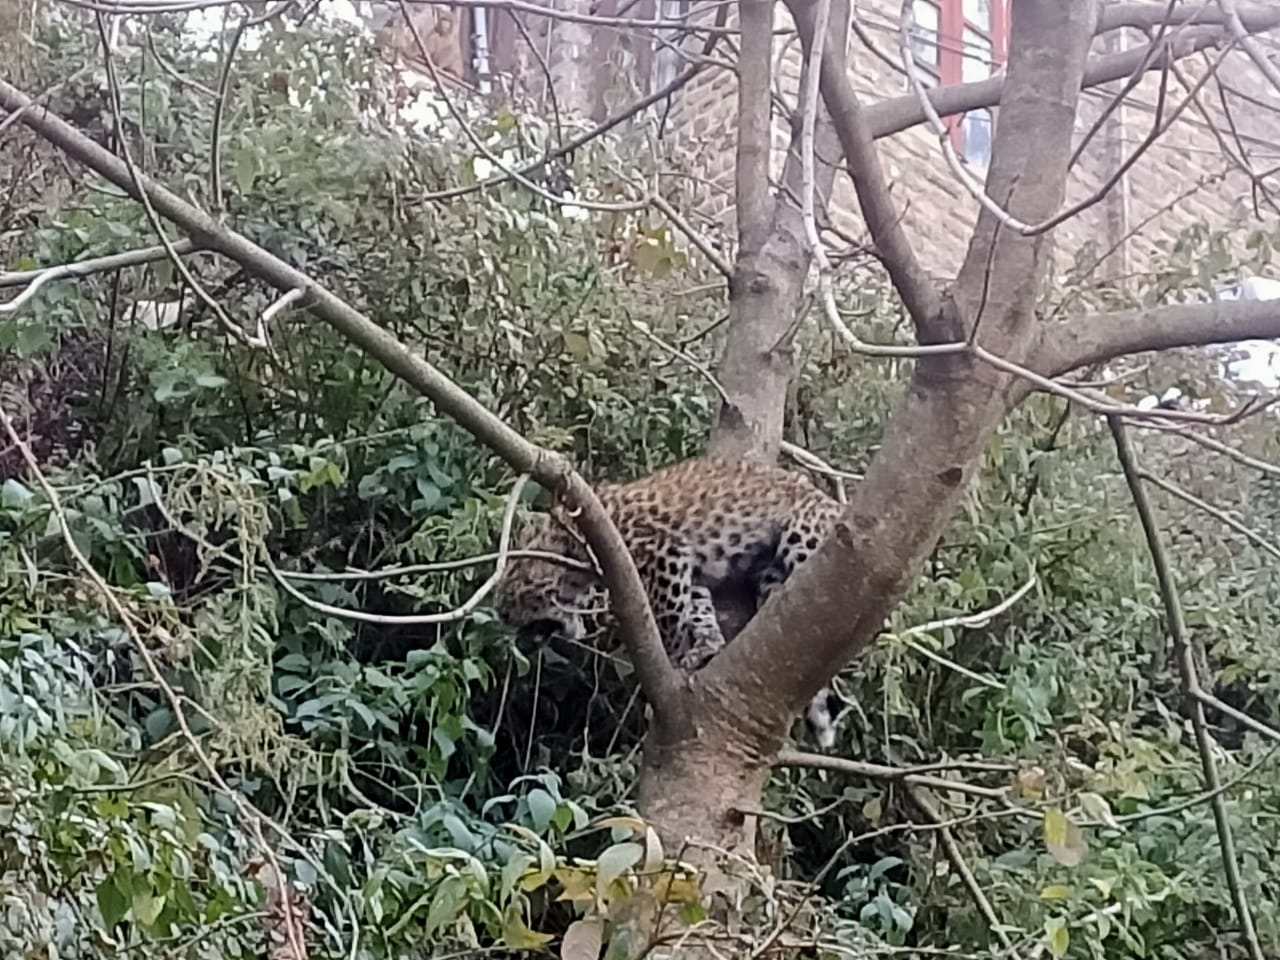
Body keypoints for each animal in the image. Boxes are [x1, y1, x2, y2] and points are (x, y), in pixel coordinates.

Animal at [492, 456, 849, 749]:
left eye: (512, 609)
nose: (514, 636)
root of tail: (831, 503)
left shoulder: (664, 552)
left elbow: (670, 615)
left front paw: (675, 661)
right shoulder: (690, 574)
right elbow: (696, 611)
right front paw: (705, 647)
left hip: (803, 534)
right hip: (770, 574)